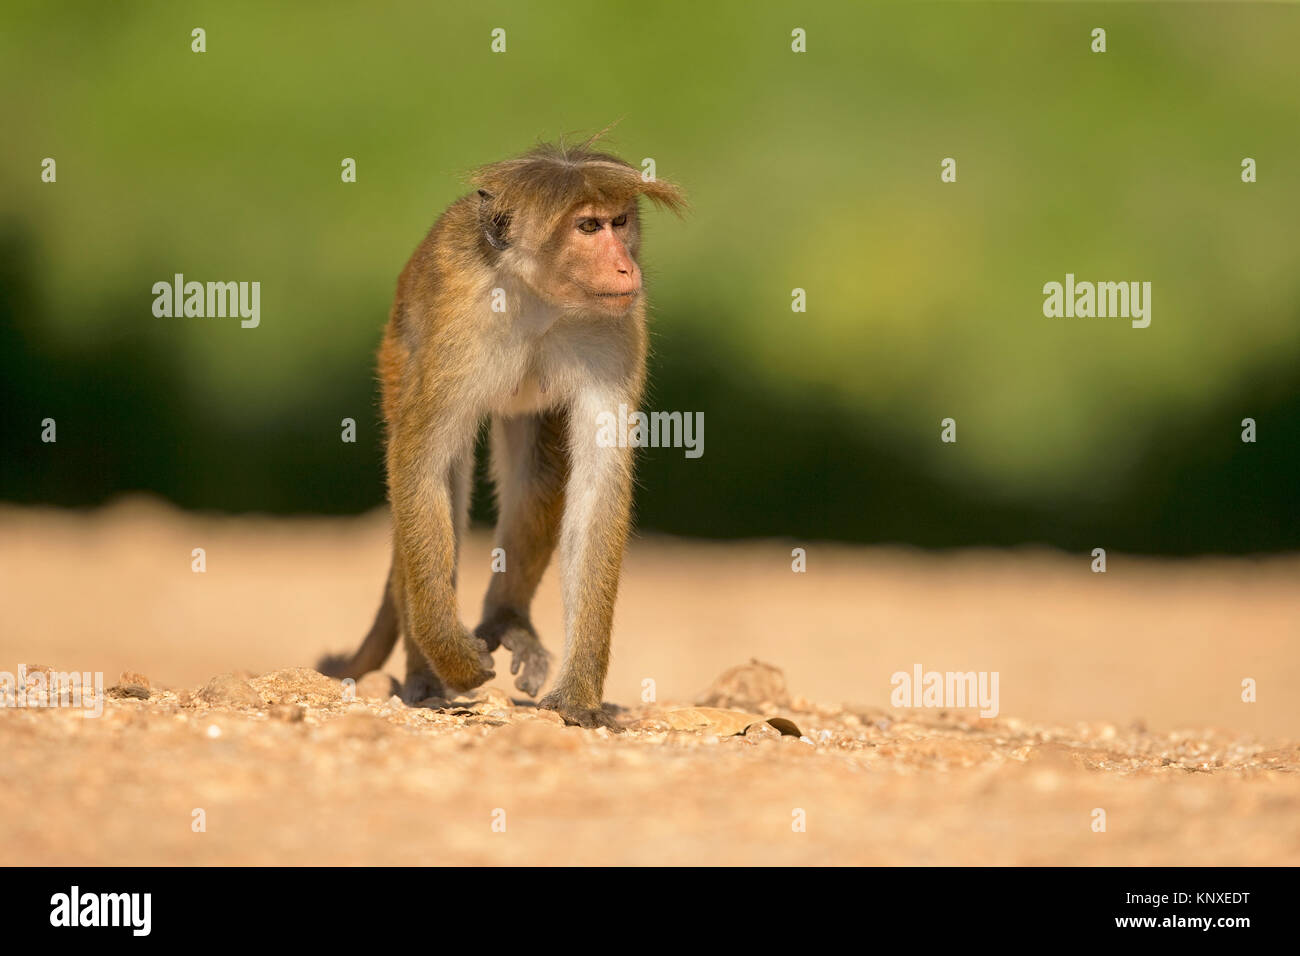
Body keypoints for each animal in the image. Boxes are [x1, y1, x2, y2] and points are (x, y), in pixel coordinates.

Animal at [320, 139, 685, 730]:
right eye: (588, 227)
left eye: (620, 222)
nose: (626, 265)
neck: (540, 299)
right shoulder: (461, 322)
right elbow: (421, 465)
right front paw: (450, 655)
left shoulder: (617, 328)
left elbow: (597, 485)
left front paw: (579, 695)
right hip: (397, 355)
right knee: (437, 474)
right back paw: (425, 674)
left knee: (539, 472)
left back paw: (507, 620)